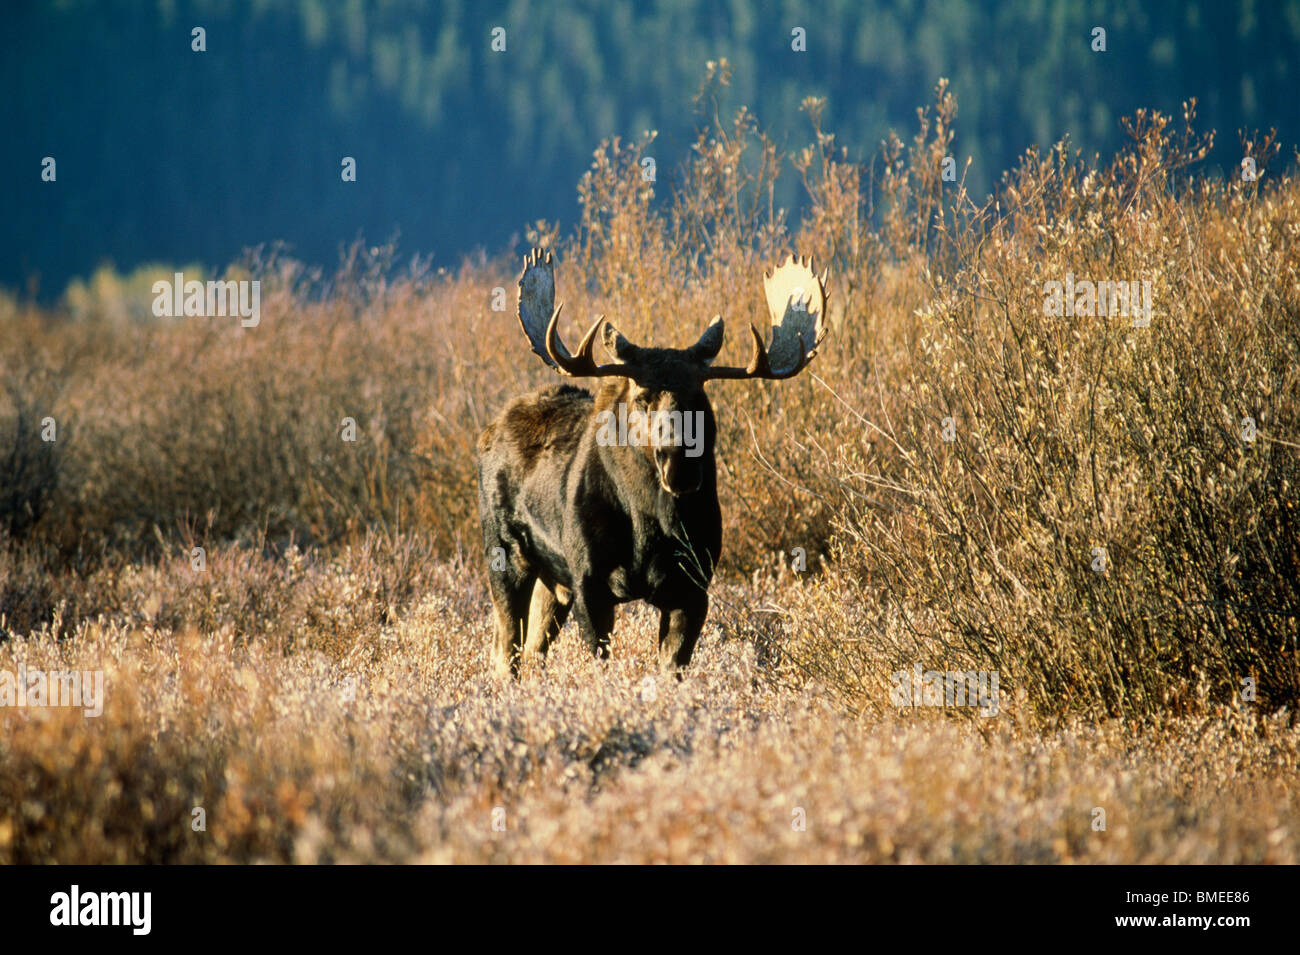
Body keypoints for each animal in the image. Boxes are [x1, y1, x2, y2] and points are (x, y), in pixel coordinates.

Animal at [476, 249, 828, 678]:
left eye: (699, 396)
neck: (648, 527)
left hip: (553, 580)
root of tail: (489, 430)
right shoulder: (589, 582)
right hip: (504, 553)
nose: (680, 462)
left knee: (531, 650)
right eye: (642, 397)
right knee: (505, 649)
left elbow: (671, 669)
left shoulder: (693, 588)